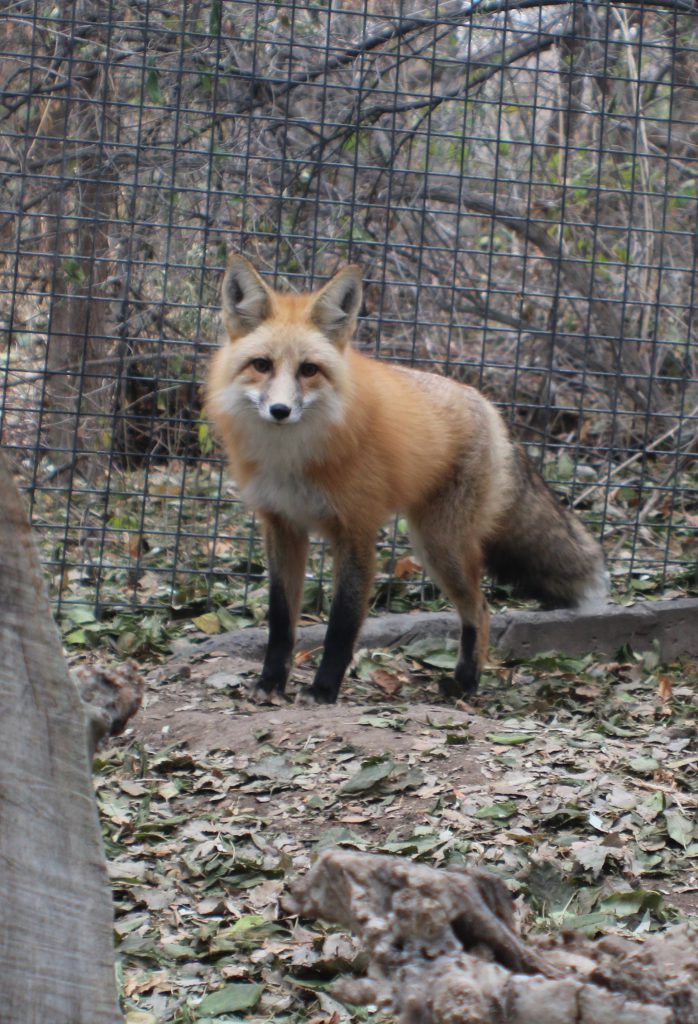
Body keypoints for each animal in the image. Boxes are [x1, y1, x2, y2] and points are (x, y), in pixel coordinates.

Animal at [206, 255, 608, 704]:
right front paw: (271, 682)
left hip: (440, 546)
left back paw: (466, 683)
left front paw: (324, 689)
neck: (293, 456)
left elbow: (342, 625)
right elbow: (280, 620)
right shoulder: (281, 525)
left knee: (481, 610)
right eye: (262, 365)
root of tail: (488, 406)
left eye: (309, 370)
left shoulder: (357, 531)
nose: (280, 411)